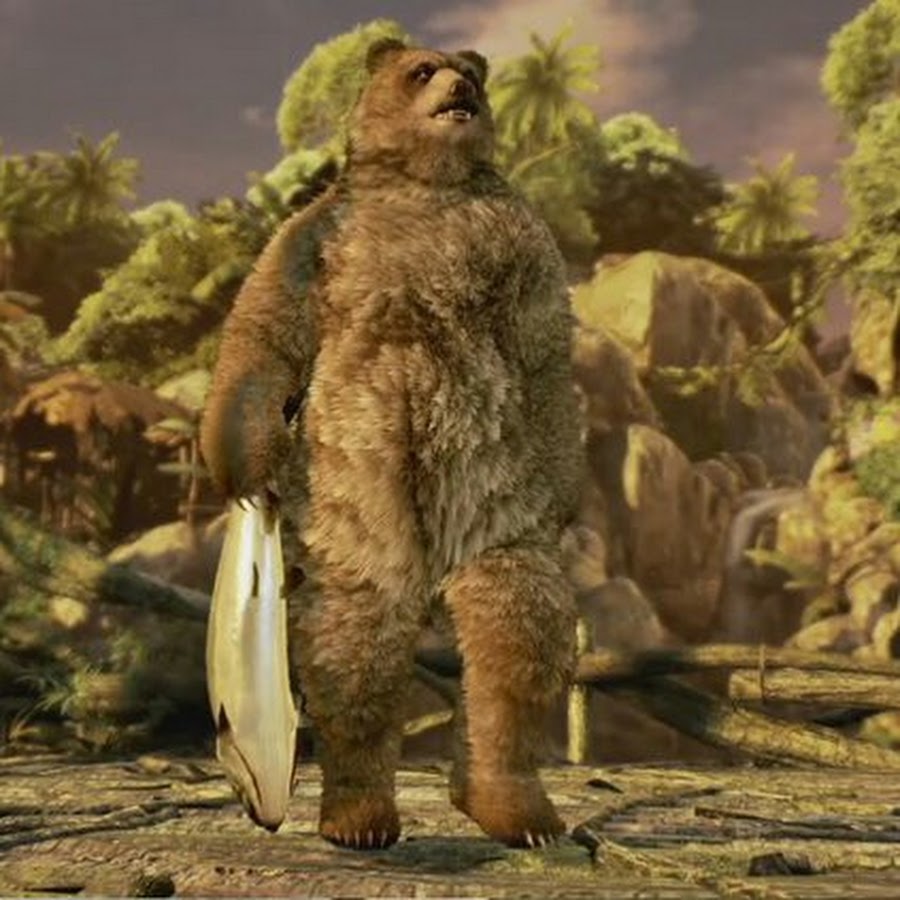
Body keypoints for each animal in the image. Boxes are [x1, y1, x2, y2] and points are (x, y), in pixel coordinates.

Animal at [200, 37, 582, 850]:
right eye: (422, 71)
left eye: (471, 74)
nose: (461, 85)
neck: (427, 183)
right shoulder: (321, 234)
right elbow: (264, 322)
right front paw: (238, 463)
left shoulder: (517, 239)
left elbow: (542, 345)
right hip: (354, 473)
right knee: (357, 622)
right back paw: (357, 817)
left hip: (485, 473)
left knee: (512, 603)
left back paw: (515, 808)